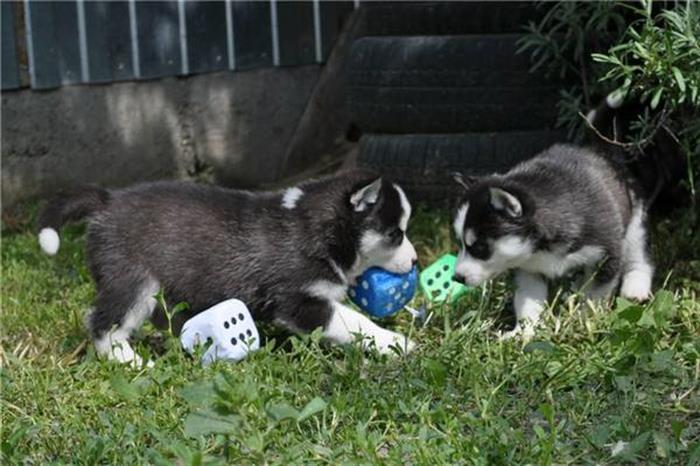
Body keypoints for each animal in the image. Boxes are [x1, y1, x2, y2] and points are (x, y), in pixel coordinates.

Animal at [38, 169, 418, 366]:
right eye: (396, 234)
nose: (416, 261)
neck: (319, 231)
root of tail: (108, 201)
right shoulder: (299, 302)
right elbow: (355, 321)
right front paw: (396, 342)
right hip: (132, 282)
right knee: (103, 323)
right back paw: (129, 361)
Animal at [452, 144, 652, 336]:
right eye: (460, 243)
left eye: (480, 247)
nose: (457, 278)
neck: (541, 249)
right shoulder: (528, 269)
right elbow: (528, 300)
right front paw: (524, 331)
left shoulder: (606, 256)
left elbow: (594, 296)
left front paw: (584, 322)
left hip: (635, 224)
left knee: (640, 257)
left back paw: (635, 286)